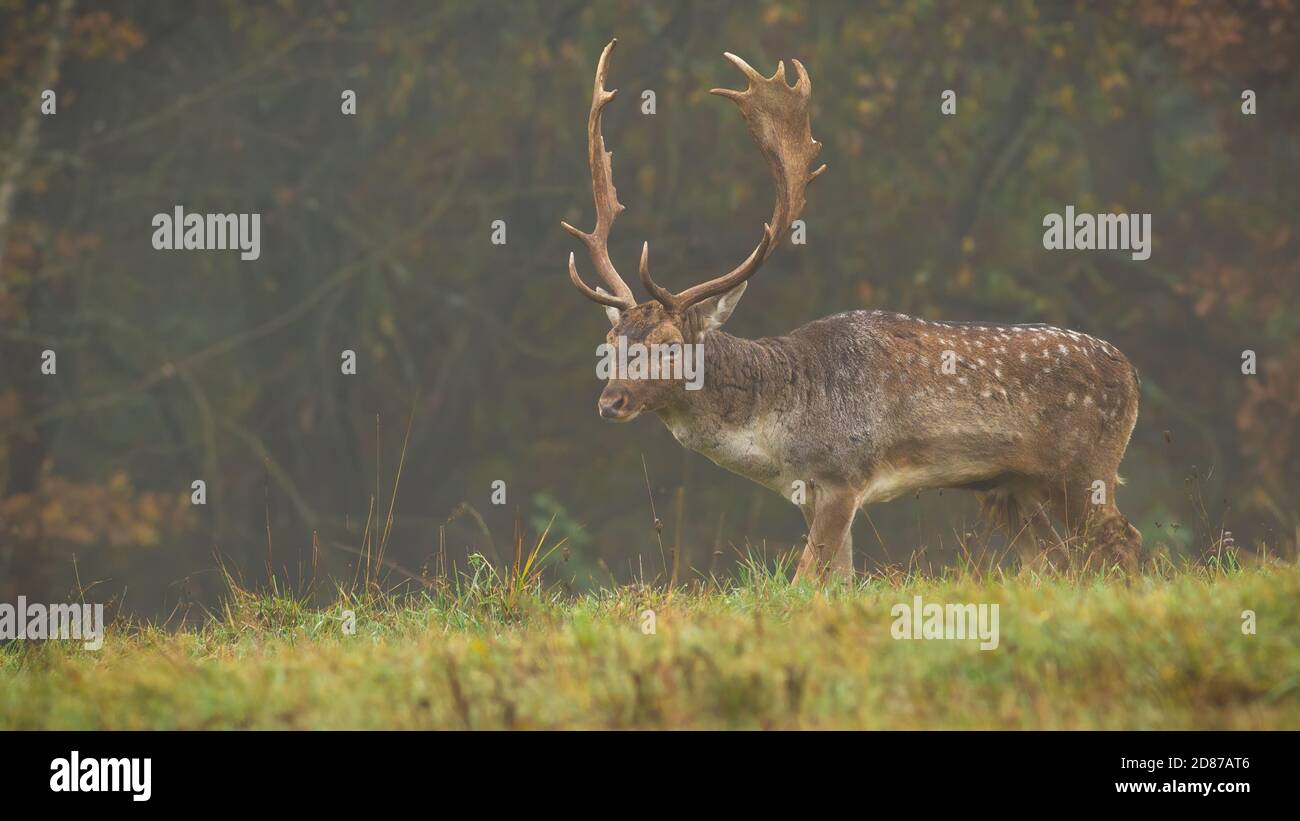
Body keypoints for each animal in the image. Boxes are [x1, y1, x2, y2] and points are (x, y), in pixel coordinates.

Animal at [562, 40, 1143, 583]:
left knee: (1121, 540)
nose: (610, 401)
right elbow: (836, 581)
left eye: (667, 345)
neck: (778, 429)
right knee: (1056, 561)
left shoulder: (846, 474)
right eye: (610, 344)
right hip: (1005, 485)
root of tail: (1131, 371)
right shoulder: (809, 492)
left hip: (1085, 466)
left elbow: (806, 579)